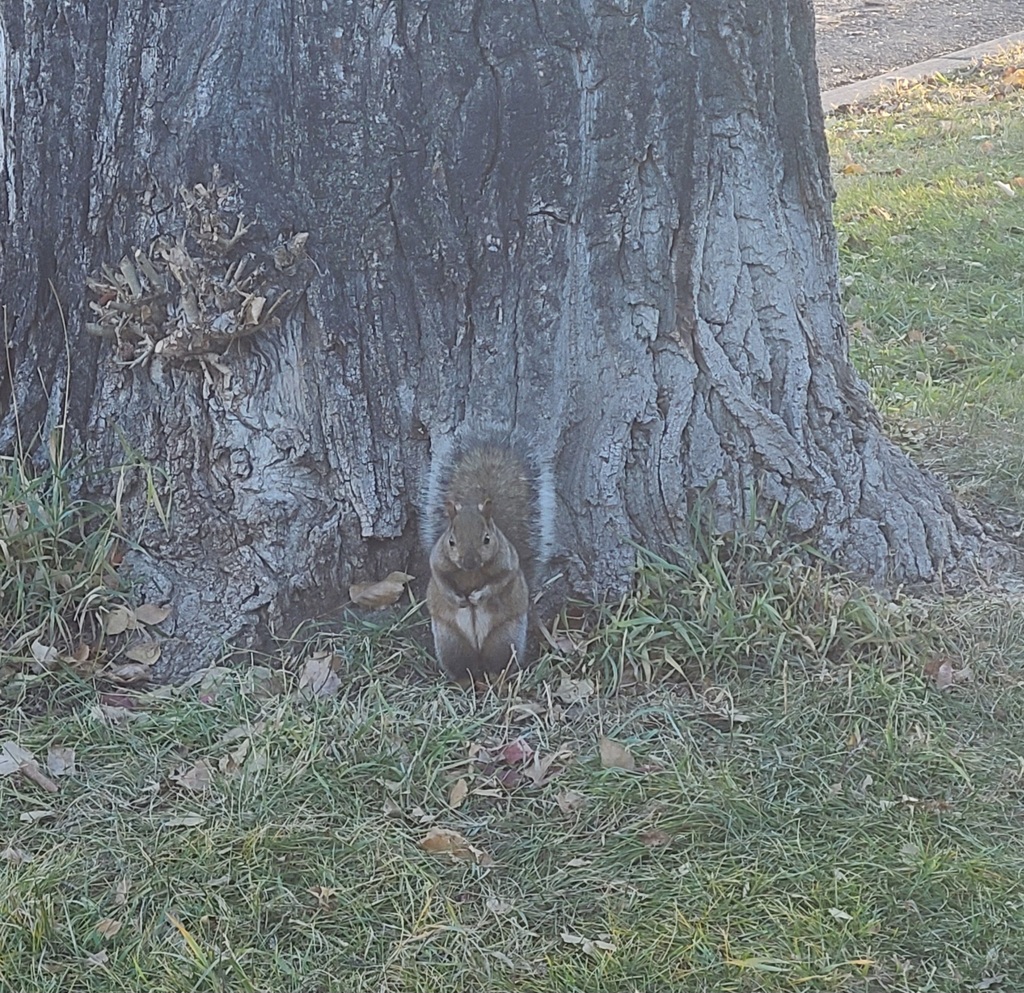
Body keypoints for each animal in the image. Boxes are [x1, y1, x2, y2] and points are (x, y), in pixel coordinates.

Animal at [420, 436, 555, 683]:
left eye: (487, 539)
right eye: (451, 541)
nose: (469, 562)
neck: (471, 572)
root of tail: (478, 656)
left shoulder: (507, 561)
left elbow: (501, 581)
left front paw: (478, 597)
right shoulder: (438, 559)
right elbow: (440, 579)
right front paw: (457, 599)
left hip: (504, 640)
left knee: (498, 662)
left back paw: (496, 677)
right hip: (450, 642)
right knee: (461, 666)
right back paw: (463, 681)